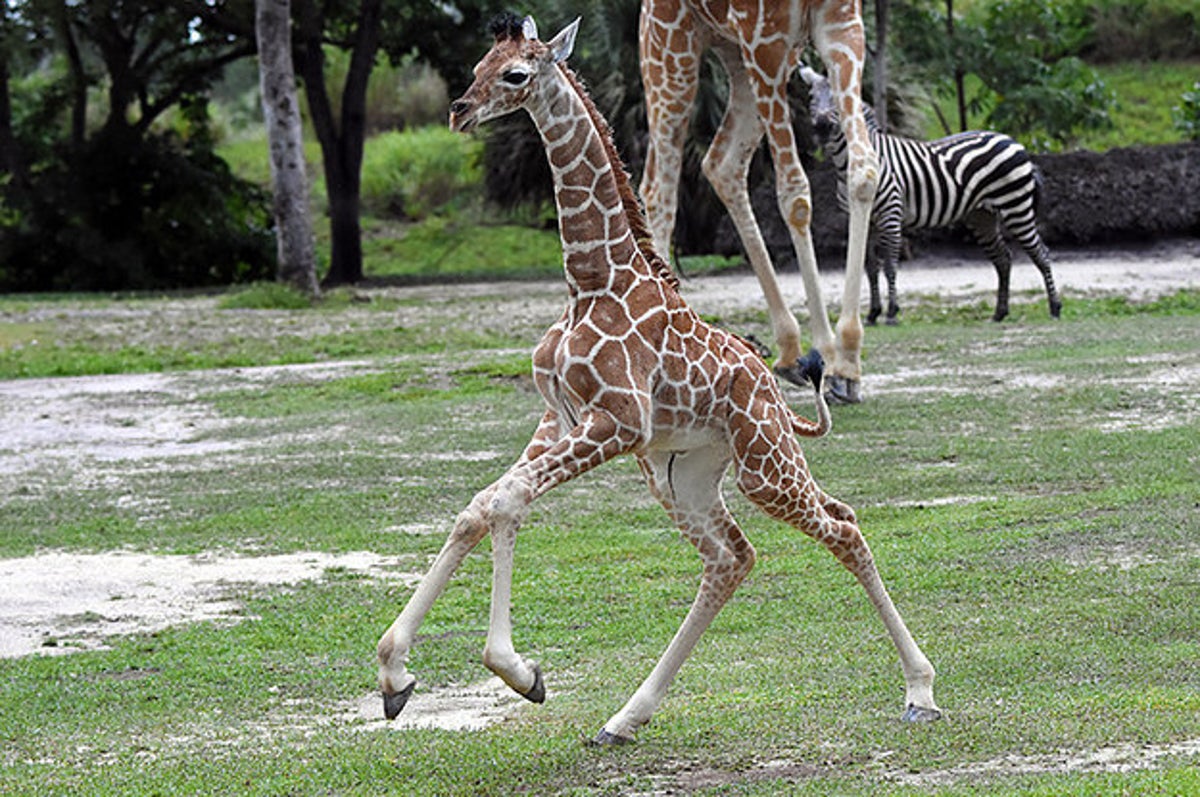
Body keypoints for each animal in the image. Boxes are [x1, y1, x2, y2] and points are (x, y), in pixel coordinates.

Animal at [639, 0, 880, 404]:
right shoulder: (762, 40)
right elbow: (794, 195)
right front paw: (827, 354)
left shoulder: (841, 22)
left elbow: (864, 173)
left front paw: (847, 362)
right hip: (670, 53)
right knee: (659, 187)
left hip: (738, 54)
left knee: (721, 164)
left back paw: (789, 351)